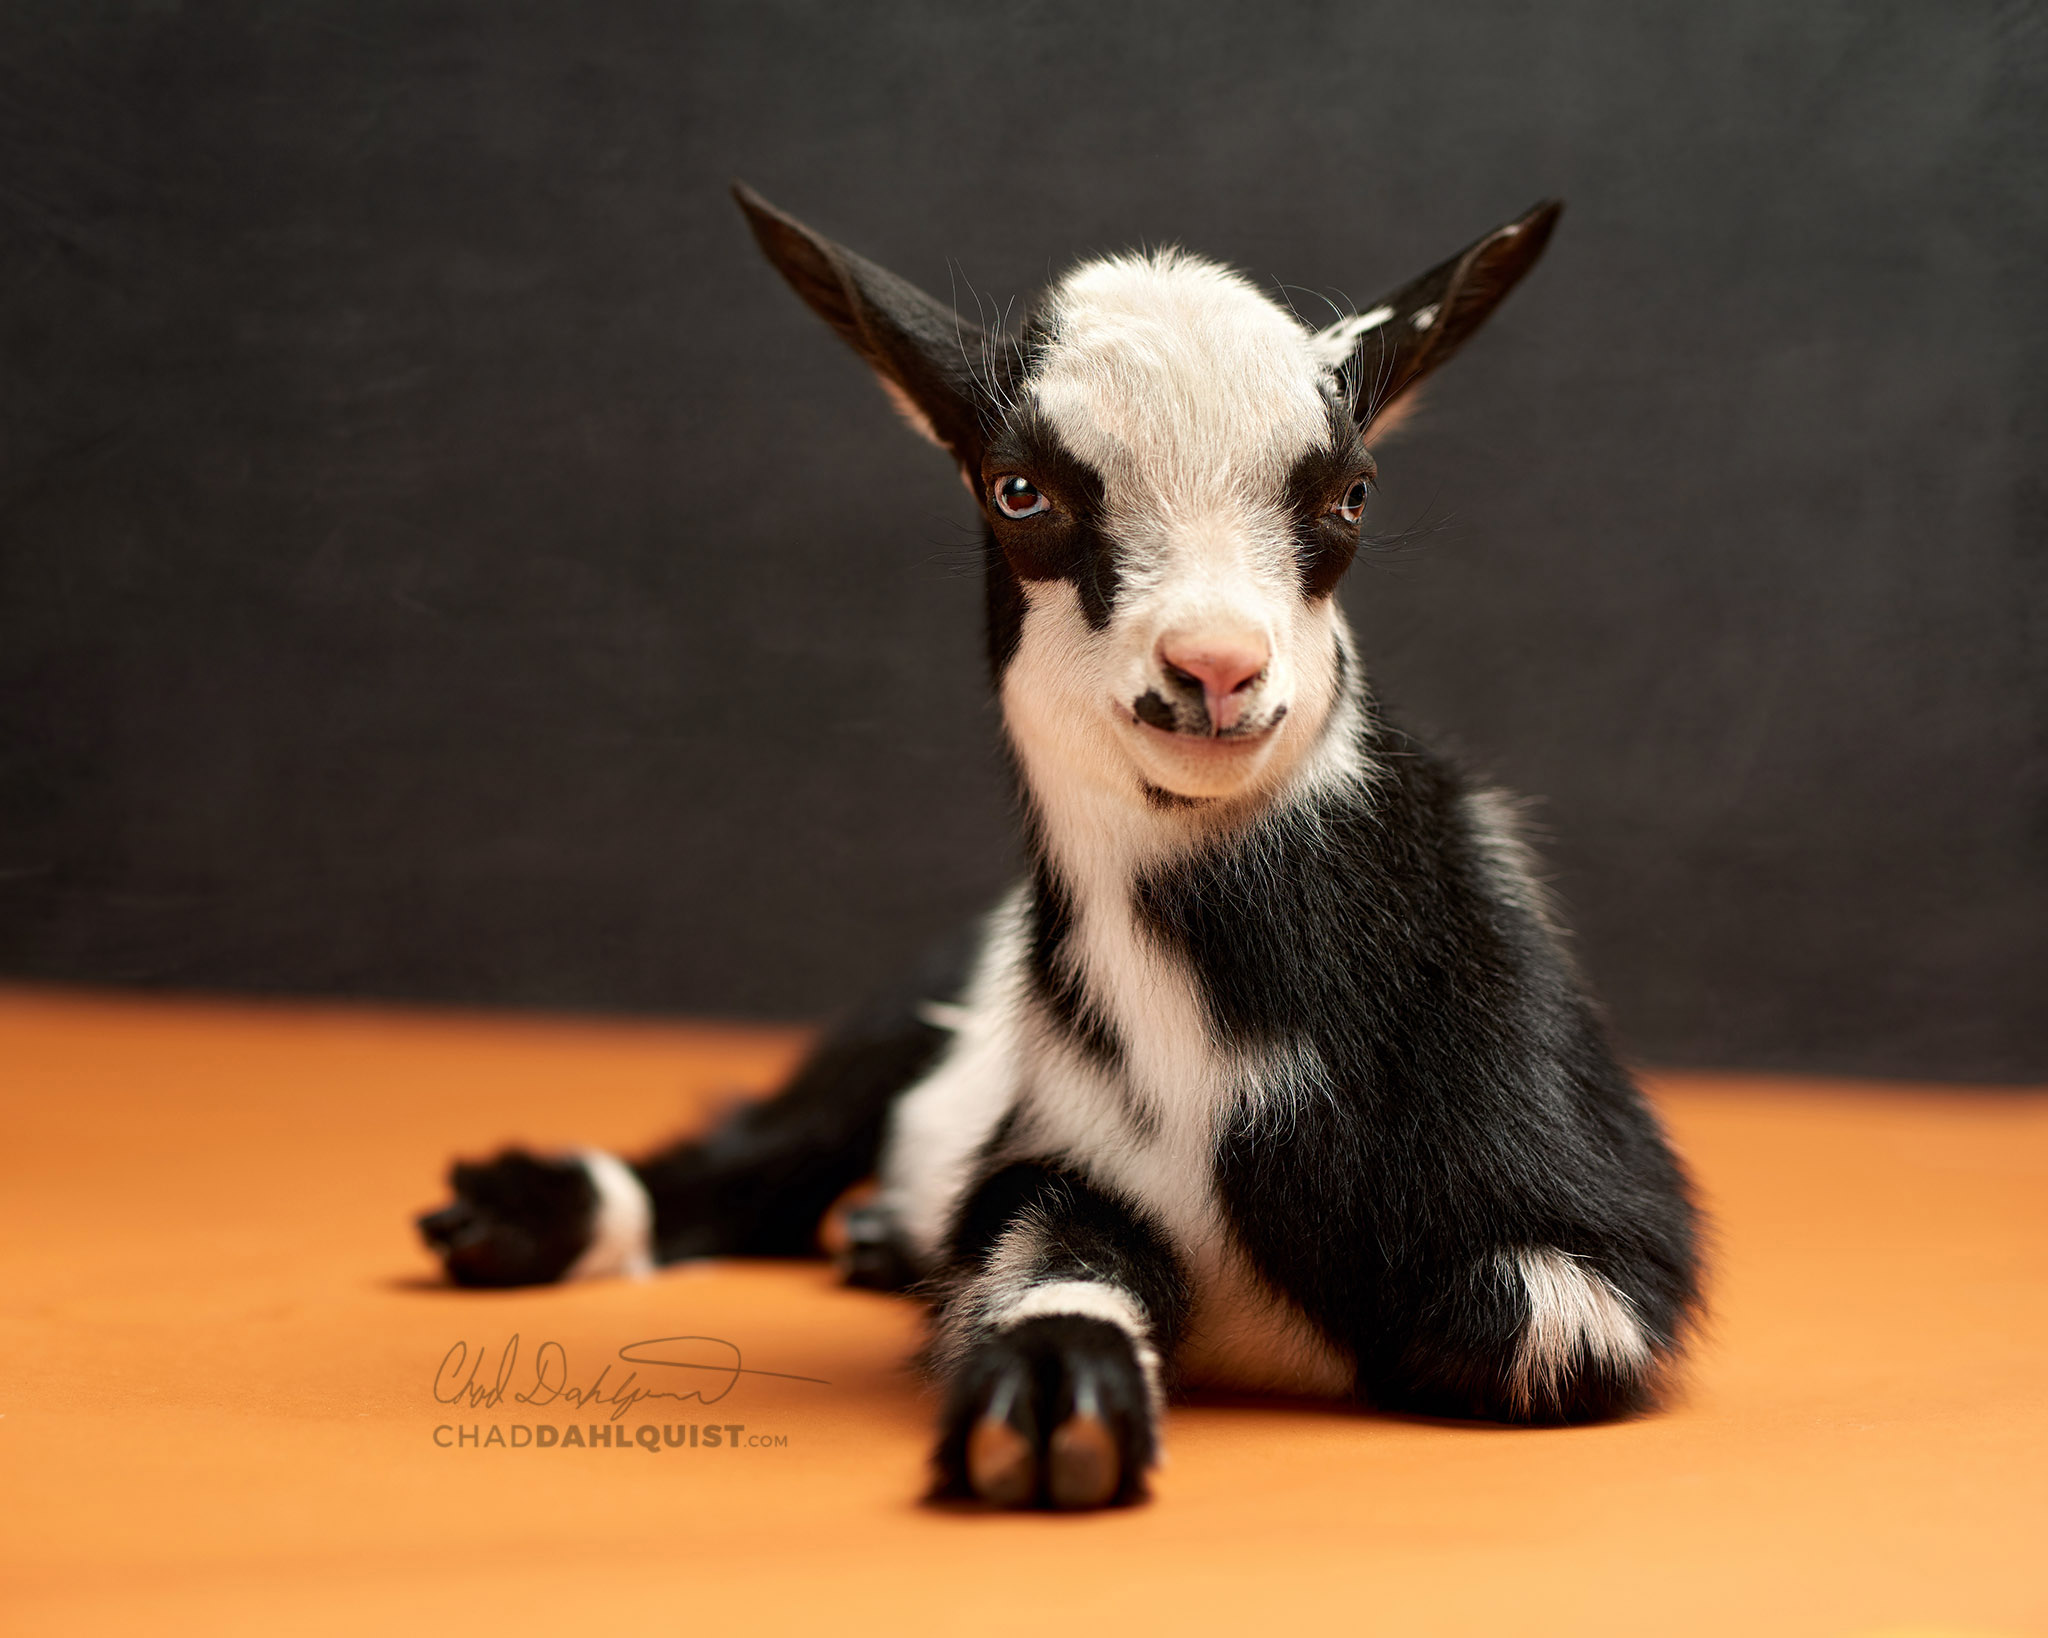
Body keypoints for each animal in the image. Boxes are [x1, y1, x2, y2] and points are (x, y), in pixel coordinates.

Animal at [418, 185, 1703, 1511]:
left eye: (1350, 494)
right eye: (1017, 490)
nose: (1213, 669)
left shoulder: (1589, 1244)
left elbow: (1512, 1331)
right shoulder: (1045, 1150)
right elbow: (1044, 1250)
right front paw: (1050, 1405)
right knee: (755, 1155)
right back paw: (528, 1214)